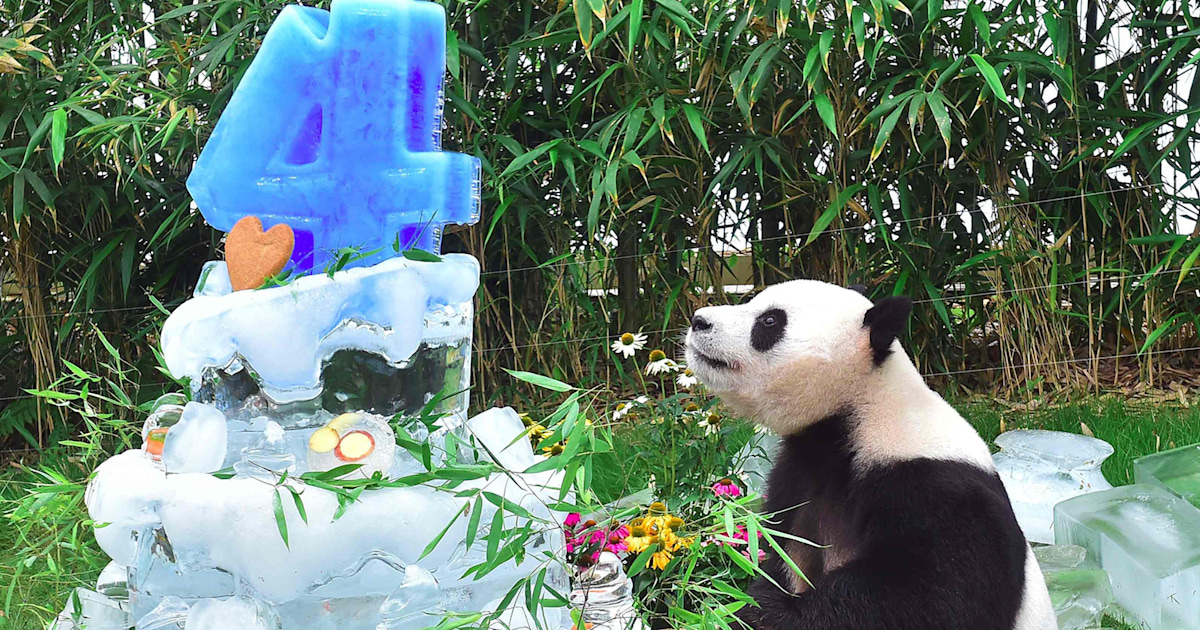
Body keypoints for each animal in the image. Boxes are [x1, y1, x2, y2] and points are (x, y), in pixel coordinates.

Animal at [685, 279, 1056, 630]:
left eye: (770, 321)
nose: (699, 320)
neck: (861, 411)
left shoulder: (935, 484)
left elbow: (932, 594)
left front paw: (766, 611)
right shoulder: (798, 477)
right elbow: (779, 556)